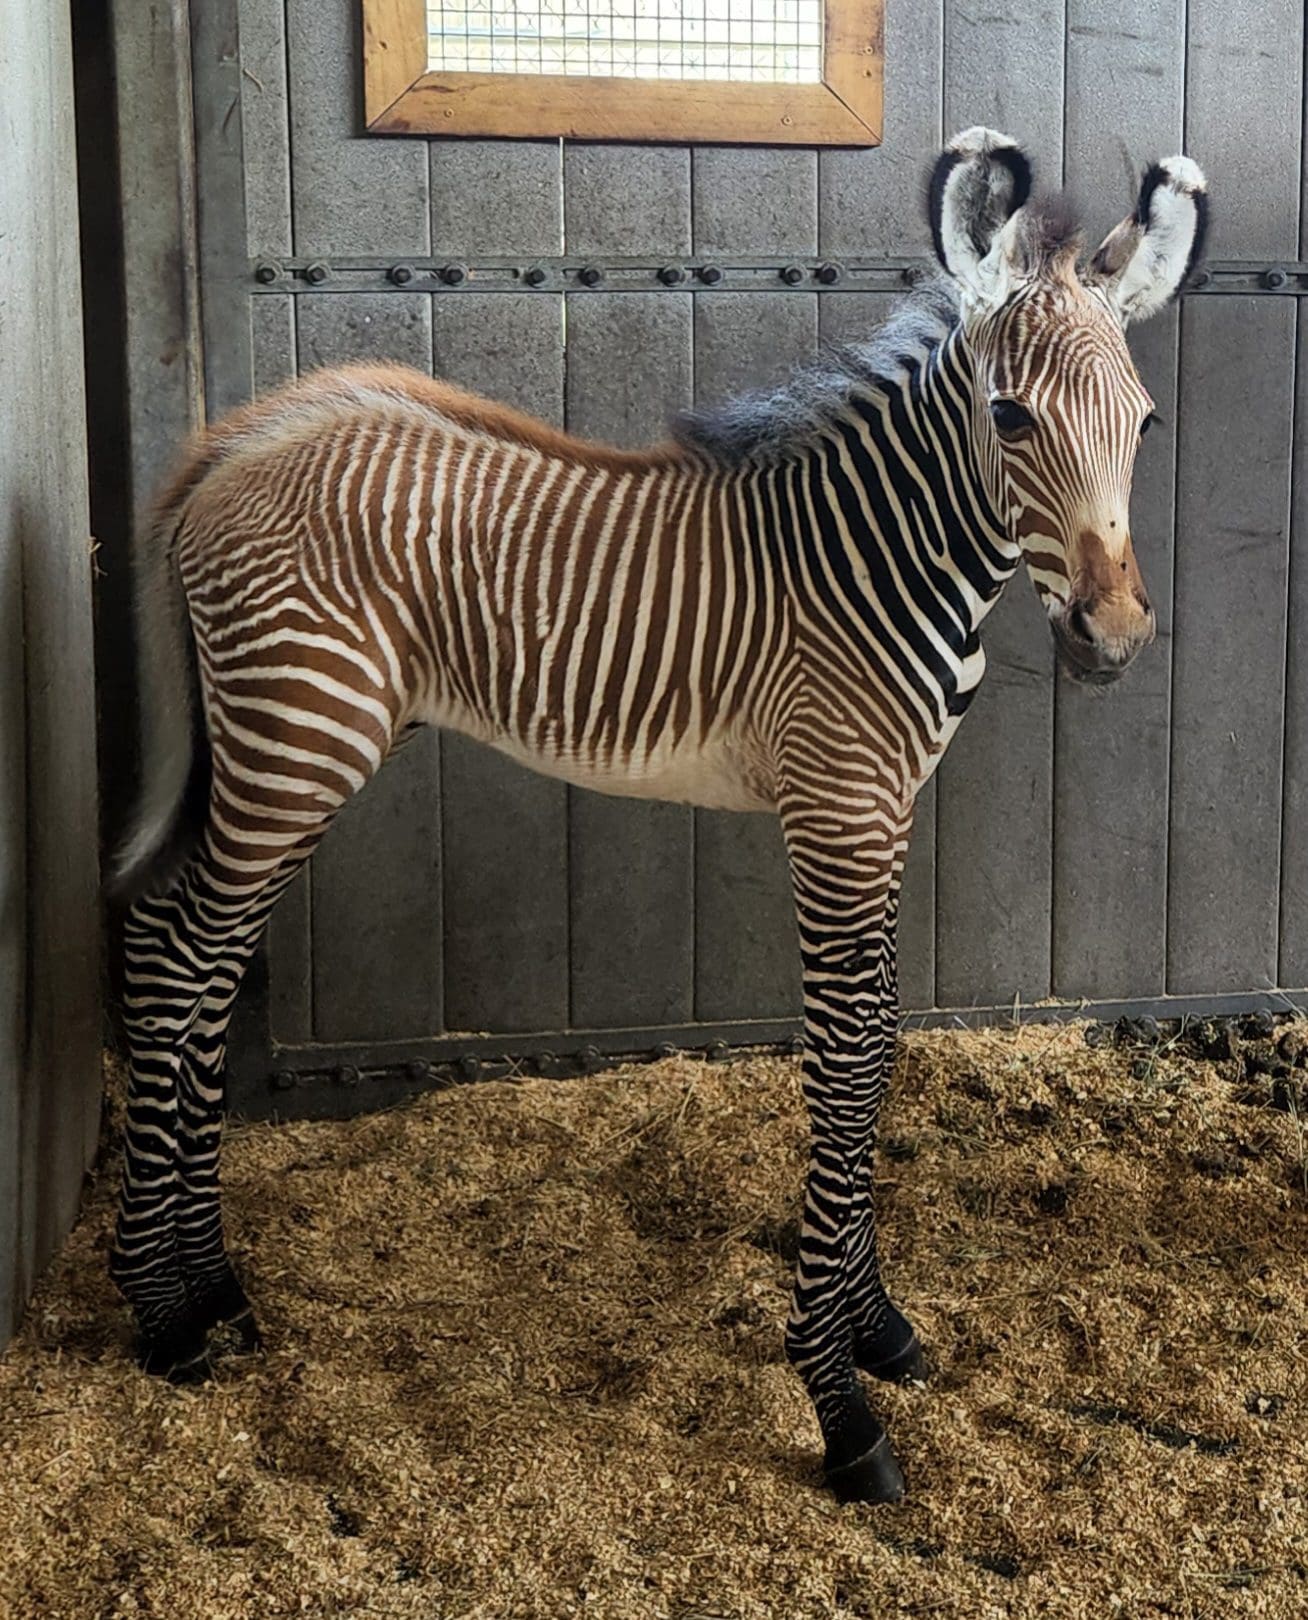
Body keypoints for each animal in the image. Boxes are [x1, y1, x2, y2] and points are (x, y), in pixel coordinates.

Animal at [111, 128, 1208, 1504]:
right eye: (1010, 417)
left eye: (1146, 422)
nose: (1112, 641)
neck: (879, 561)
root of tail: (243, 437)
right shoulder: (837, 807)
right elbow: (847, 1059)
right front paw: (839, 1401)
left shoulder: (885, 809)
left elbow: (878, 1042)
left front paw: (878, 1329)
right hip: (297, 736)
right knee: (172, 955)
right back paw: (160, 1313)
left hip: (286, 747)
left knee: (202, 965)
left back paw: (213, 1291)